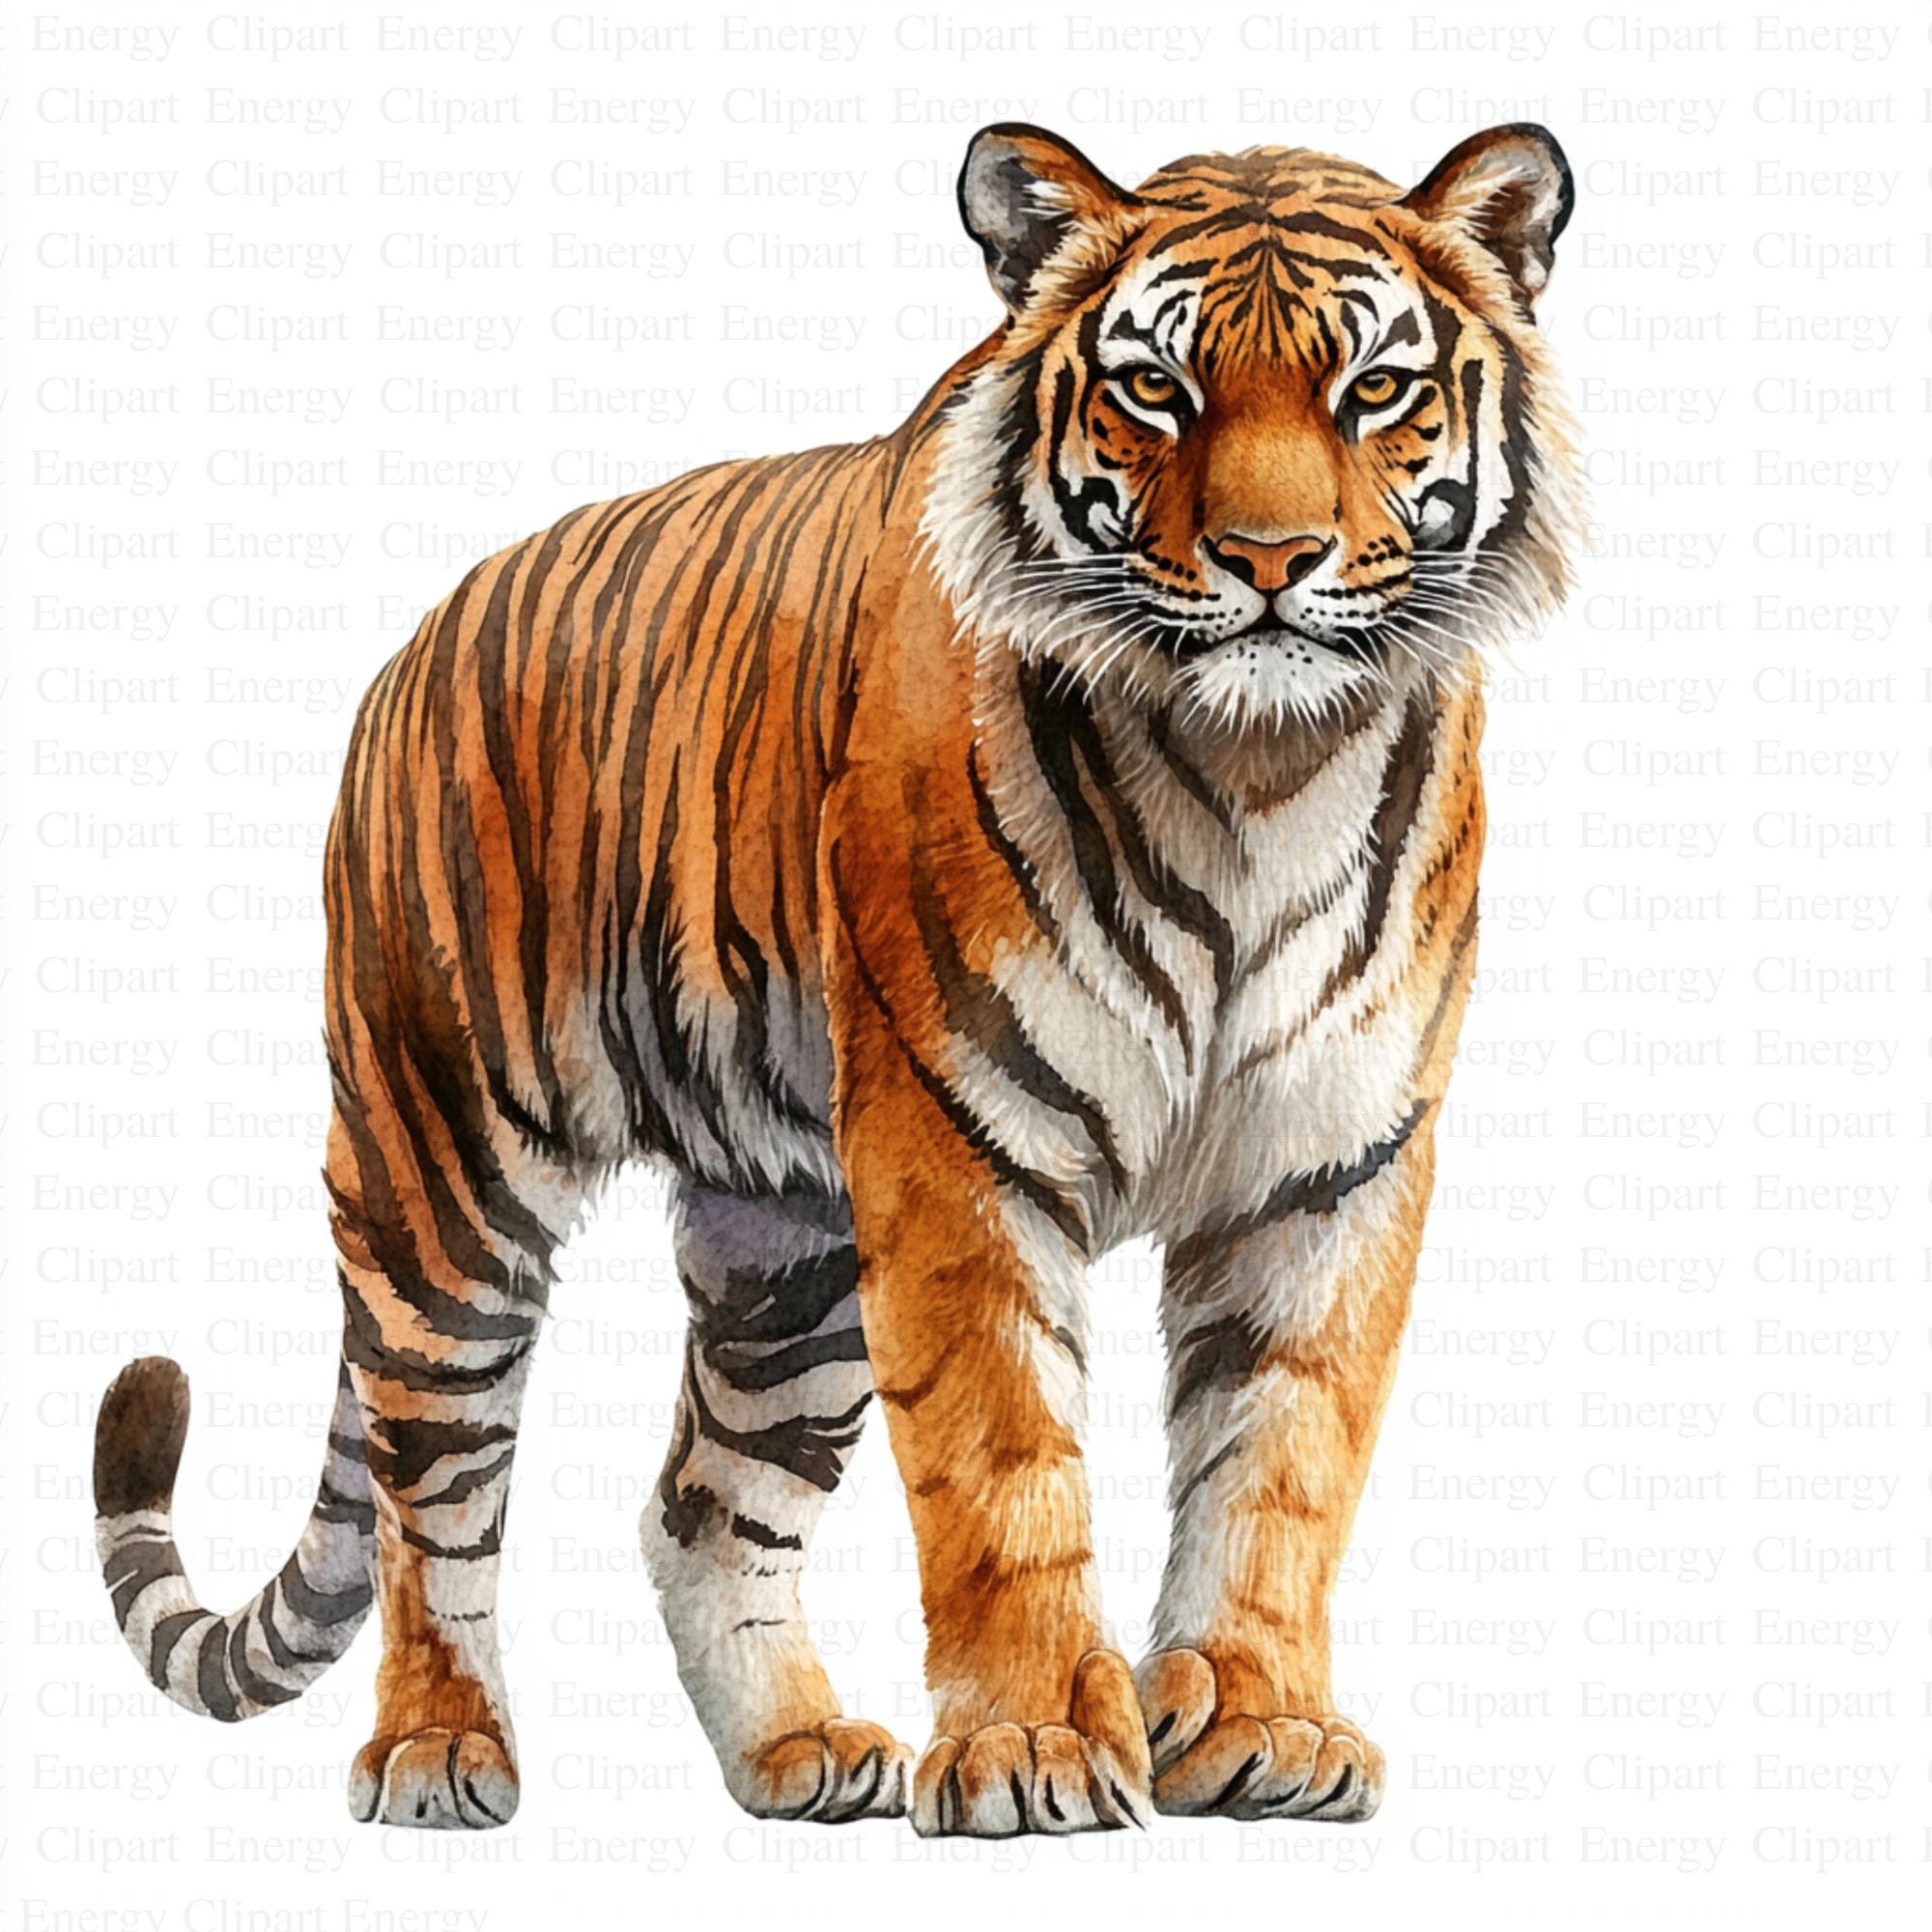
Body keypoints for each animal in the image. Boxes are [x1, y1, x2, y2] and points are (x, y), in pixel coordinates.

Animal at [93, 121, 1580, 1837]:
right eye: (1157, 389)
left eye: (1374, 389)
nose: (1271, 559)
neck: (1258, 770)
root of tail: (422, 637)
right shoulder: (962, 1145)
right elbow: (1003, 1466)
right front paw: (1033, 1748)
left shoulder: (1329, 1160)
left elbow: (1284, 1456)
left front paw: (1264, 1720)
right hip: (446, 1171)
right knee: (430, 1492)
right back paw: (438, 1750)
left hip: (788, 1253)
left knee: (700, 1508)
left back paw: (798, 1751)